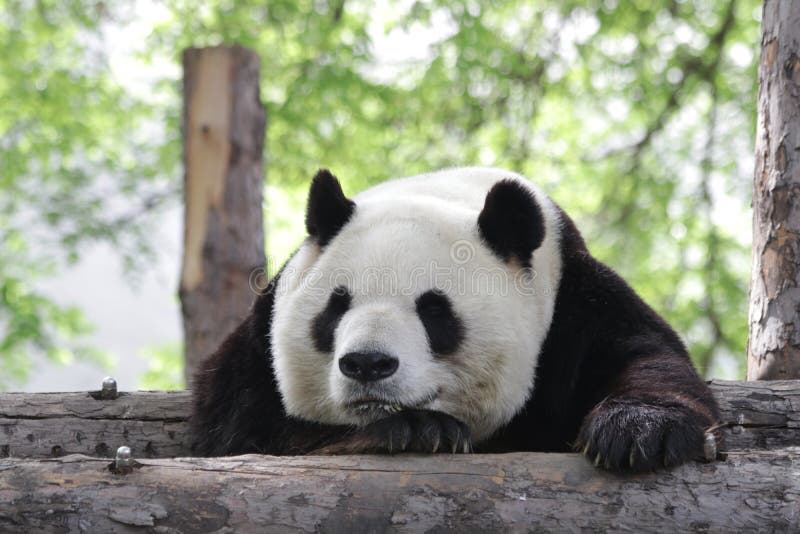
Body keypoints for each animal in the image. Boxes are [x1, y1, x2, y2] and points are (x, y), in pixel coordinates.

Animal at [190, 167, 721, 471]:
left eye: (433, 310)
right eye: (337, 306)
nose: (367, 364)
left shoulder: (571, 298)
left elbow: (643, 352)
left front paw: (637, 432)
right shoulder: (258, 342)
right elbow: (248, 429)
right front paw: (418, 429)